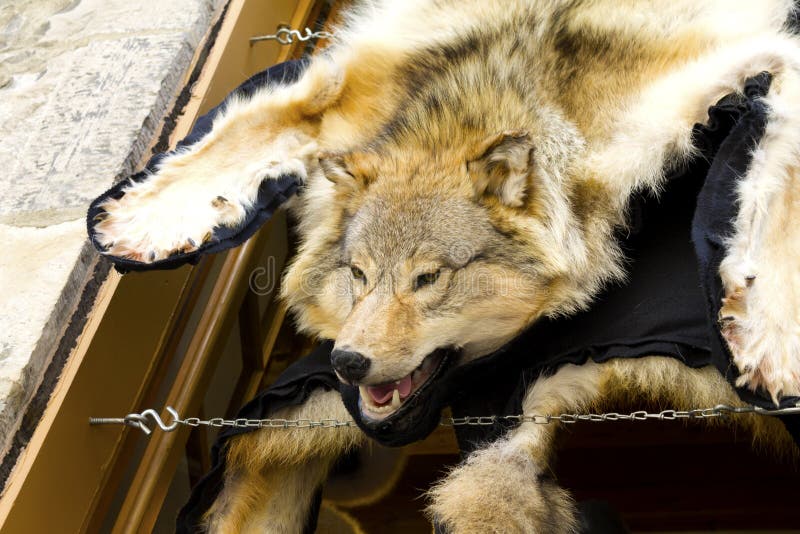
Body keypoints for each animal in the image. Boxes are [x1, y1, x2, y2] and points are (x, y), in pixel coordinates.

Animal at [93, 0, 800, 531]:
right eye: (359, 276)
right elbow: (261, 125)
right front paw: (139, 223)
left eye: (429, 278)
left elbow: (779, 179)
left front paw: (768, 336)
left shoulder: (751, 57)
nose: (347, 362)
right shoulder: (353, 93)